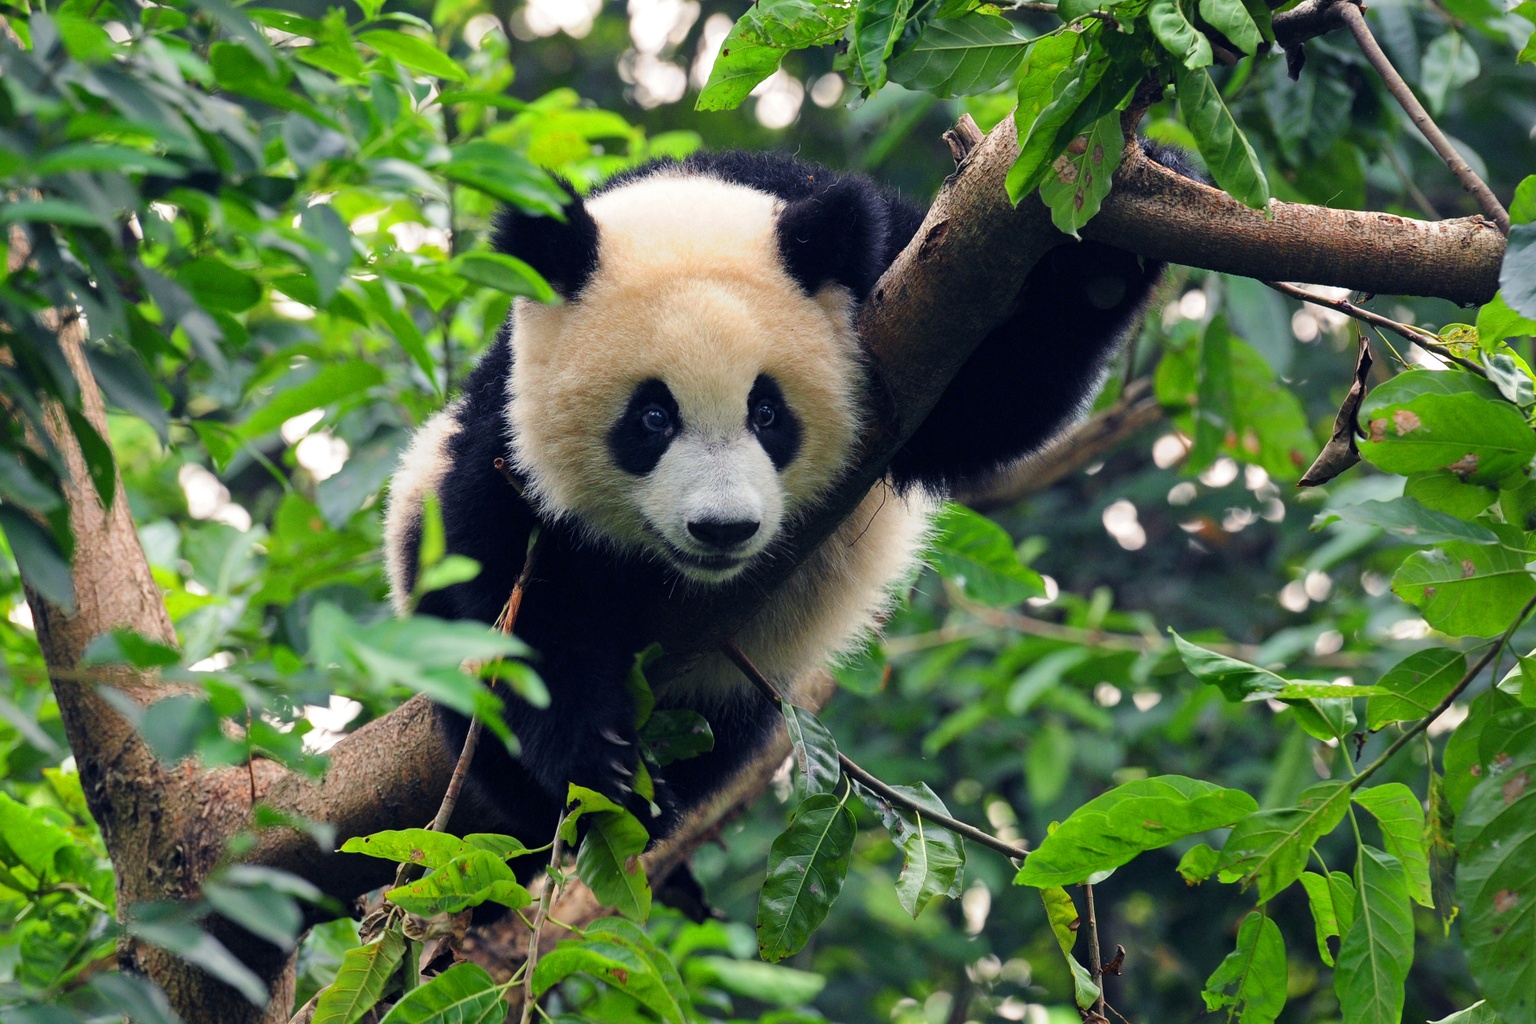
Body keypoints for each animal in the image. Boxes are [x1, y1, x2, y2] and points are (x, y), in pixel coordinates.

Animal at [383, 146, 1191, 864]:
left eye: (768, 413)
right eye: (652, 418)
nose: (722, 529)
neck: (688, 203)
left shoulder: (902, 290)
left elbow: (1000, 393)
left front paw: (1132, 207)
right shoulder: (504, 424)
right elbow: (508, 581)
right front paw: (602, 763)